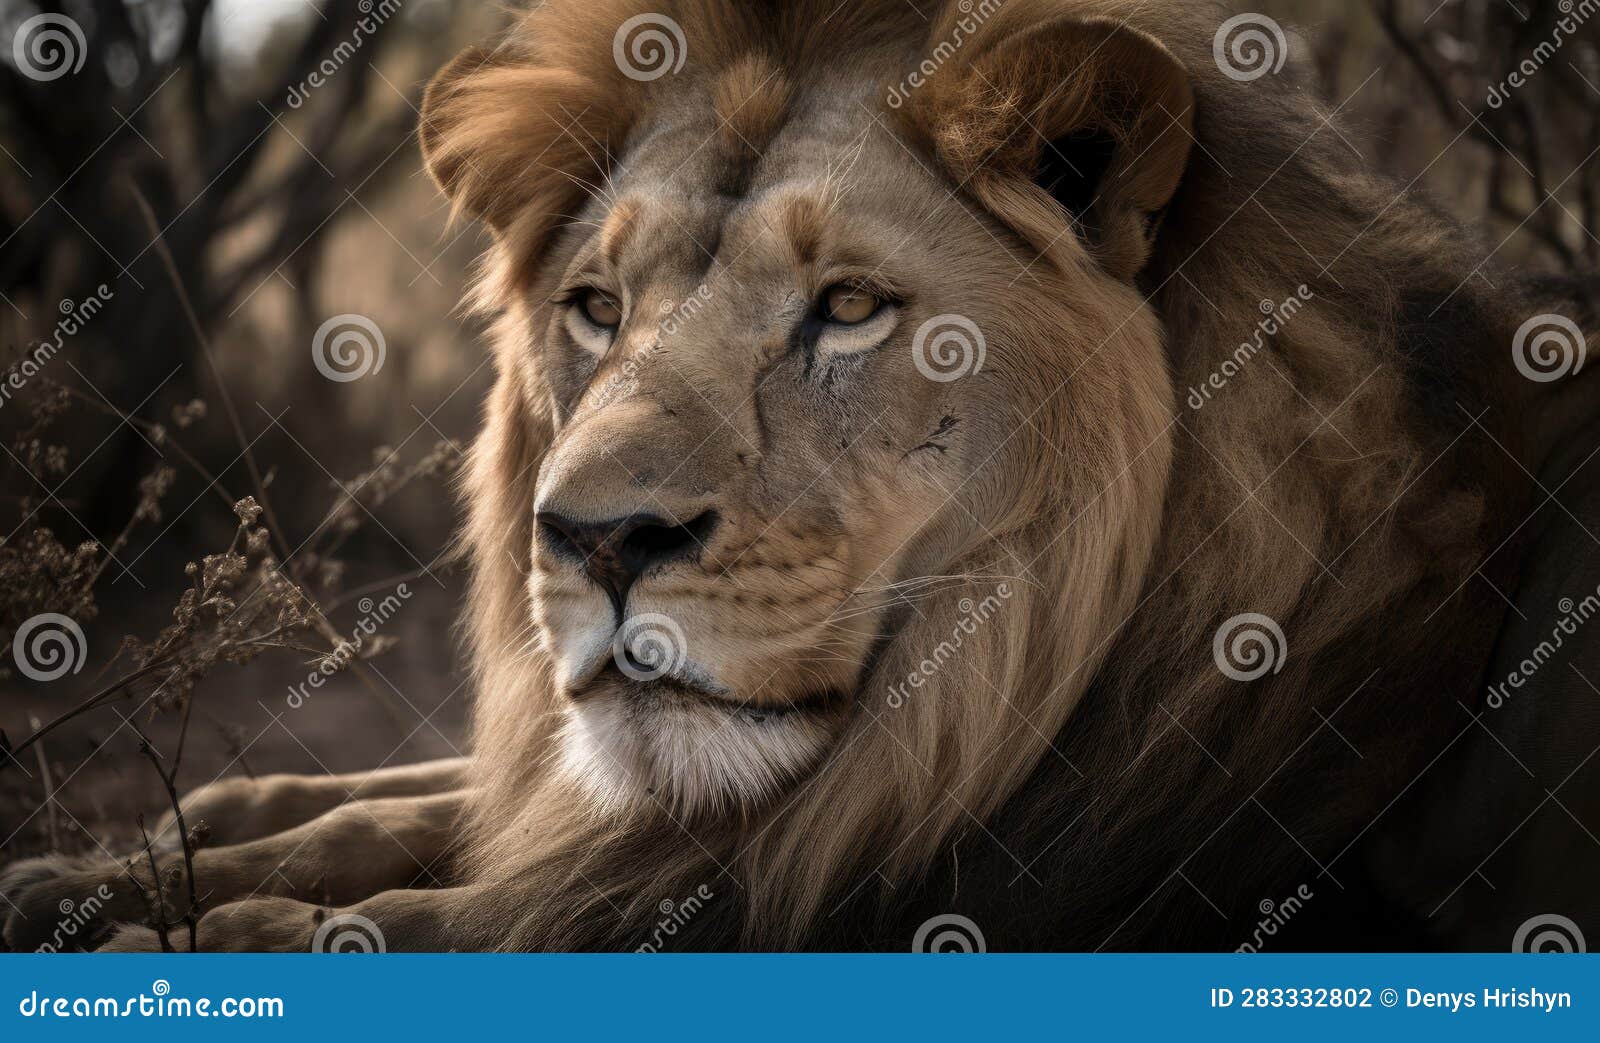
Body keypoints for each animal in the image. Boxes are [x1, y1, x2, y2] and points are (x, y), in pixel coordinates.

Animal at [5, 0, 1598, 953]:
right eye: (597, 307)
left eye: (847, 308)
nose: (595, 538)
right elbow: (403, 802)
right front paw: (118, 862)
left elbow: (434, 925)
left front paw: (179, 932)